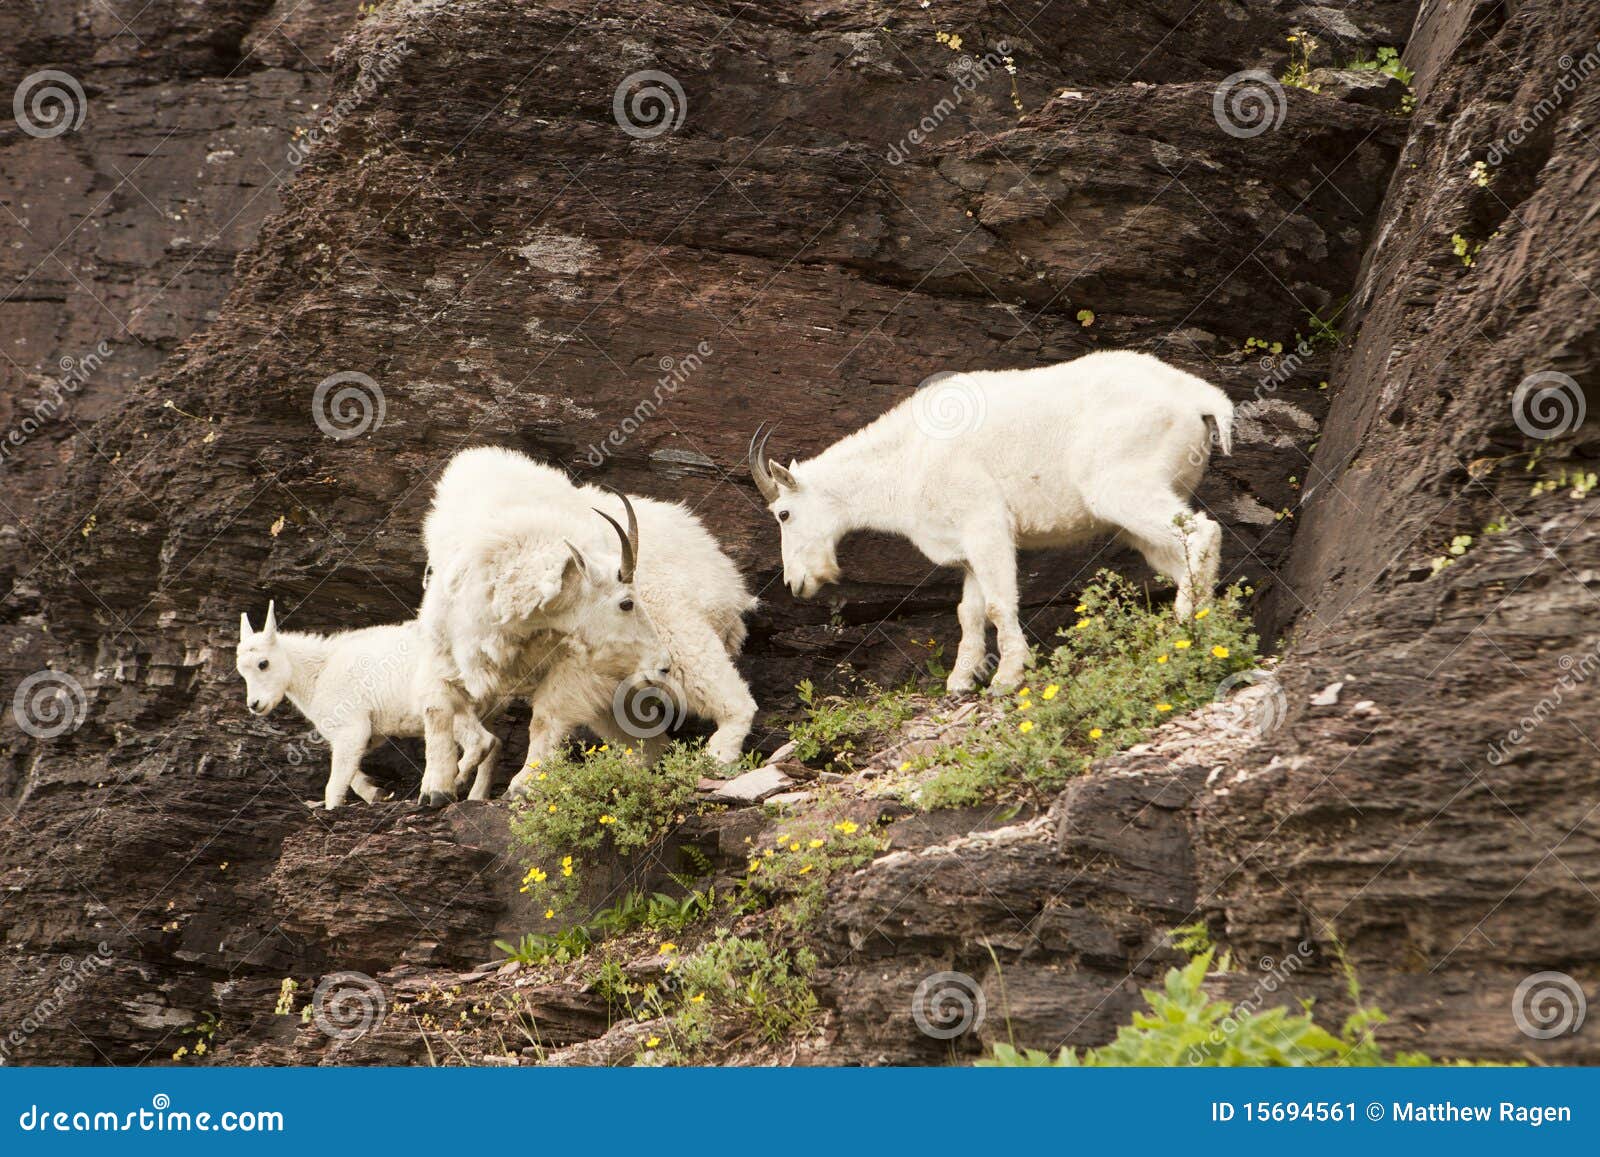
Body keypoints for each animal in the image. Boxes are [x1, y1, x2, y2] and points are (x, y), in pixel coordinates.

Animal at [234, 602, 501, 809]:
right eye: (241, 670)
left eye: (263, 663)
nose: (255, 704)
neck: (318, 673)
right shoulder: (368, 732)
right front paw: (376, 793)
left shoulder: (351, 725)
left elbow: (335, 783)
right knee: (493, 742)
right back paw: (477, 793)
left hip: (445, 699)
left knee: (480, 740)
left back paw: (451, 783)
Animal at [749, 350, 1233, 693]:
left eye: (784, 513)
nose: (796, 583)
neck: (907, 461)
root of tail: (1199, 397)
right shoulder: (967, 548)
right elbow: (969, 612)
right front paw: (961, 681)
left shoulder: (987, 525)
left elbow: (1000, 605)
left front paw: (1007, 678)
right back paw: (1206, 620)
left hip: (1123, 488)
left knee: (1202, 531)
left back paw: (1187, 618)